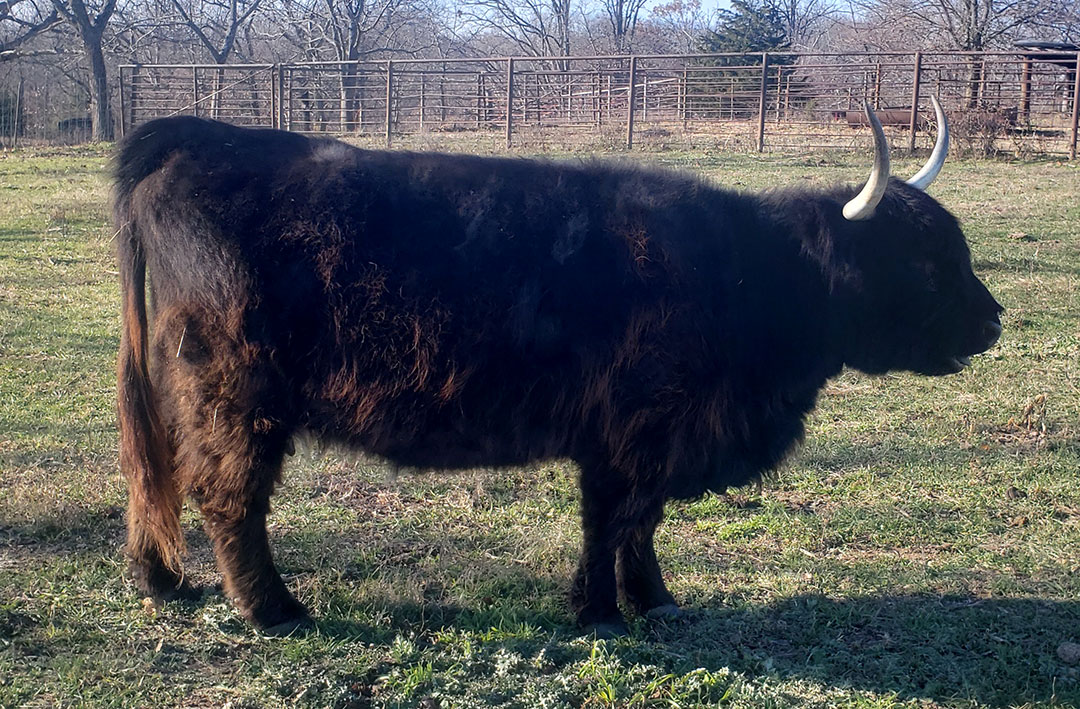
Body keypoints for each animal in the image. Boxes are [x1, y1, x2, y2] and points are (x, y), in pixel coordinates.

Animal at [114, 97, 1002, 637]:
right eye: (923, 261)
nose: (993, 319)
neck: (748, 274)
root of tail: (199, 137)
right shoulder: (630, 430)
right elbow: (611, 519)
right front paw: (602, 610)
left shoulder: (654, 440)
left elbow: (641, 522)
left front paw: (654, 601)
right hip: (235, 391)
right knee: (229, 495)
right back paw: (275, 609)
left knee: (156, 470)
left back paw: (162, 581)